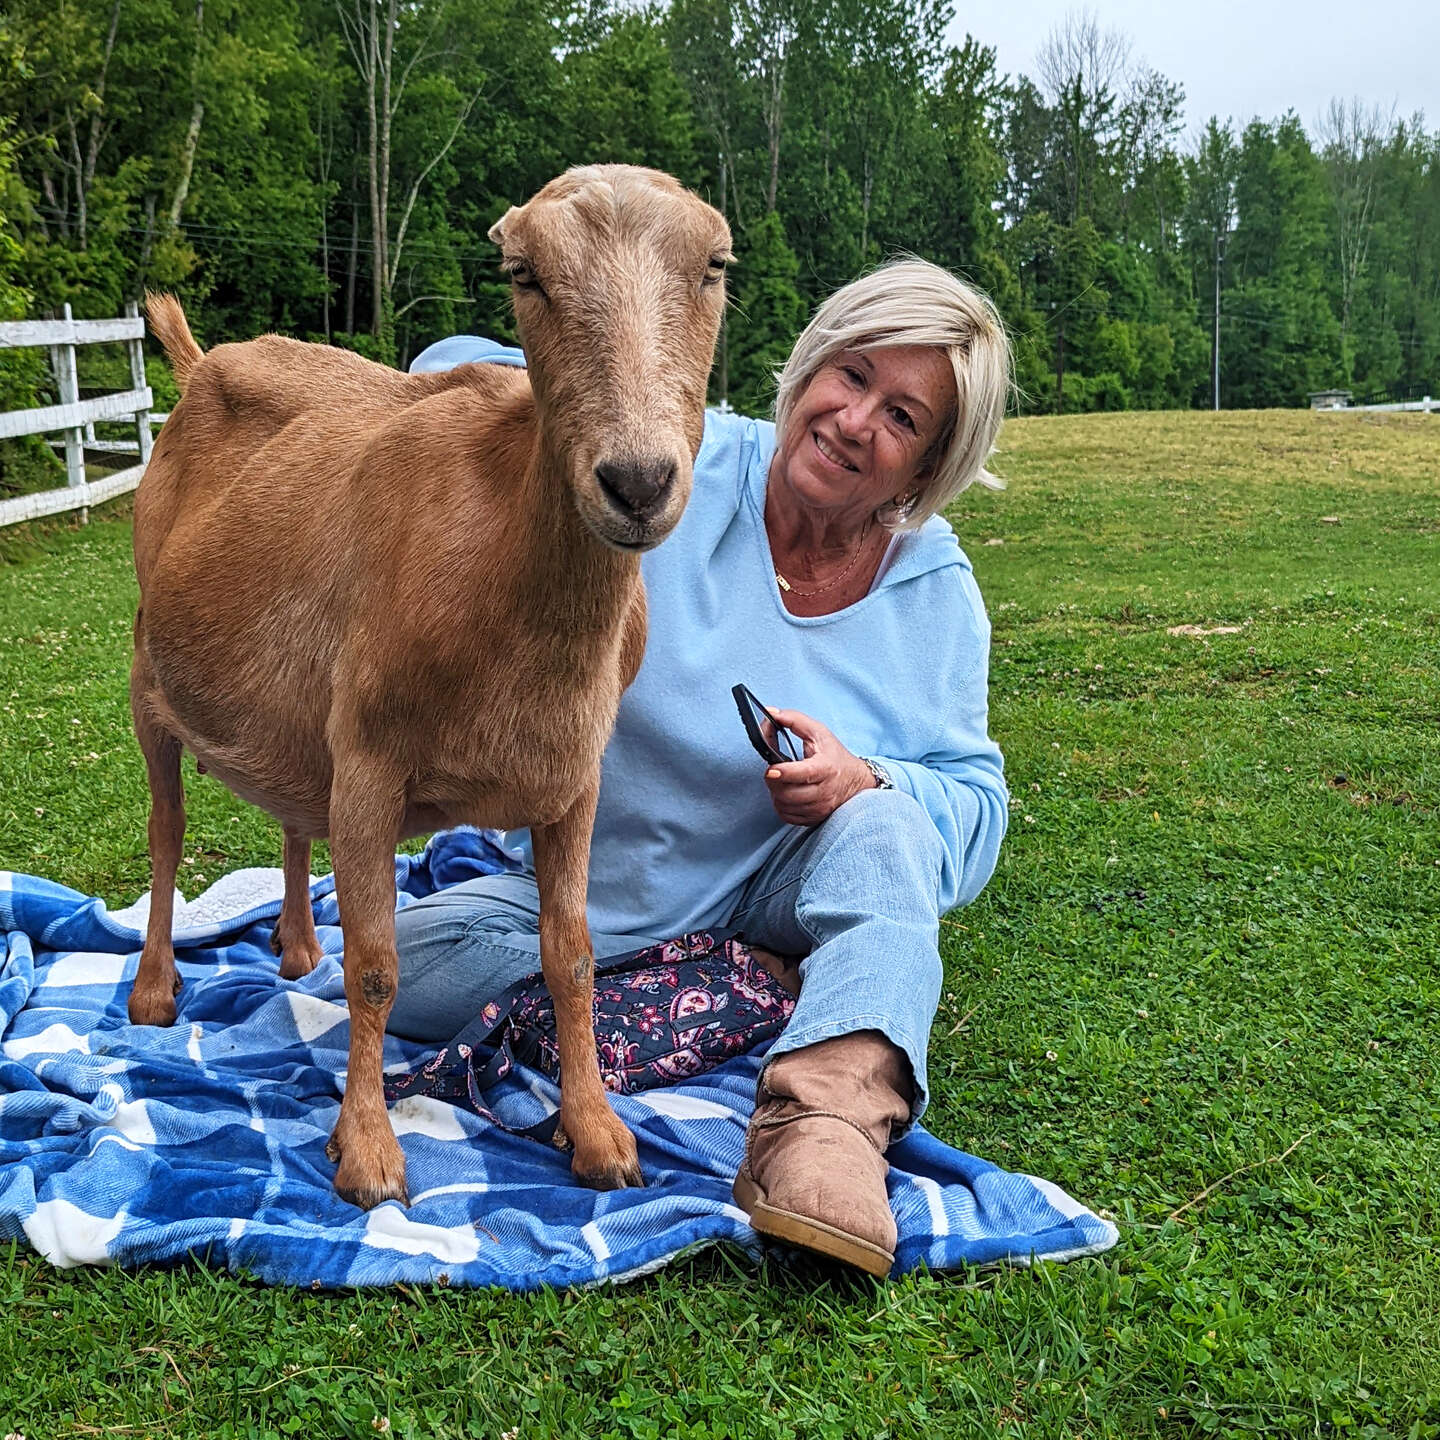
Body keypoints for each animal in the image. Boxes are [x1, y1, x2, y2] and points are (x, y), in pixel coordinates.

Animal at [128, 165, 731, 1209]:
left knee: (290, 808)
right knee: (167, 832)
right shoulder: (372, 761)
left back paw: (295, 947)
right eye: (525, 274)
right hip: (145, 671)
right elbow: (377, 968)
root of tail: (203, 362)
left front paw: (597, 1133)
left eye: (715, 266)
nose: (638, 481)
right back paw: (156, 989)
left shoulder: (575, 780)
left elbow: (571, 959)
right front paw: (368, 1151)